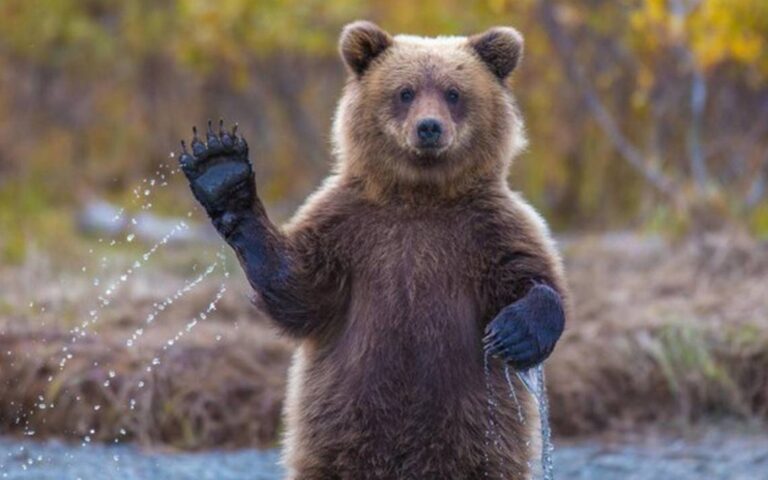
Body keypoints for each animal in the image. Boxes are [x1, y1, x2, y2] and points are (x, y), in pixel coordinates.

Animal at [178, 21, 569, 480]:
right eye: (405, 91)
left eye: (454, 92)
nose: (429, 128)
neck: (420, 195)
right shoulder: (348, 227)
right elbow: (299, 289)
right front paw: (221, 170)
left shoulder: (488, 228)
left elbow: (532, 275)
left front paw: (514, 333)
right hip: (340, 426)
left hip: (477, 432)